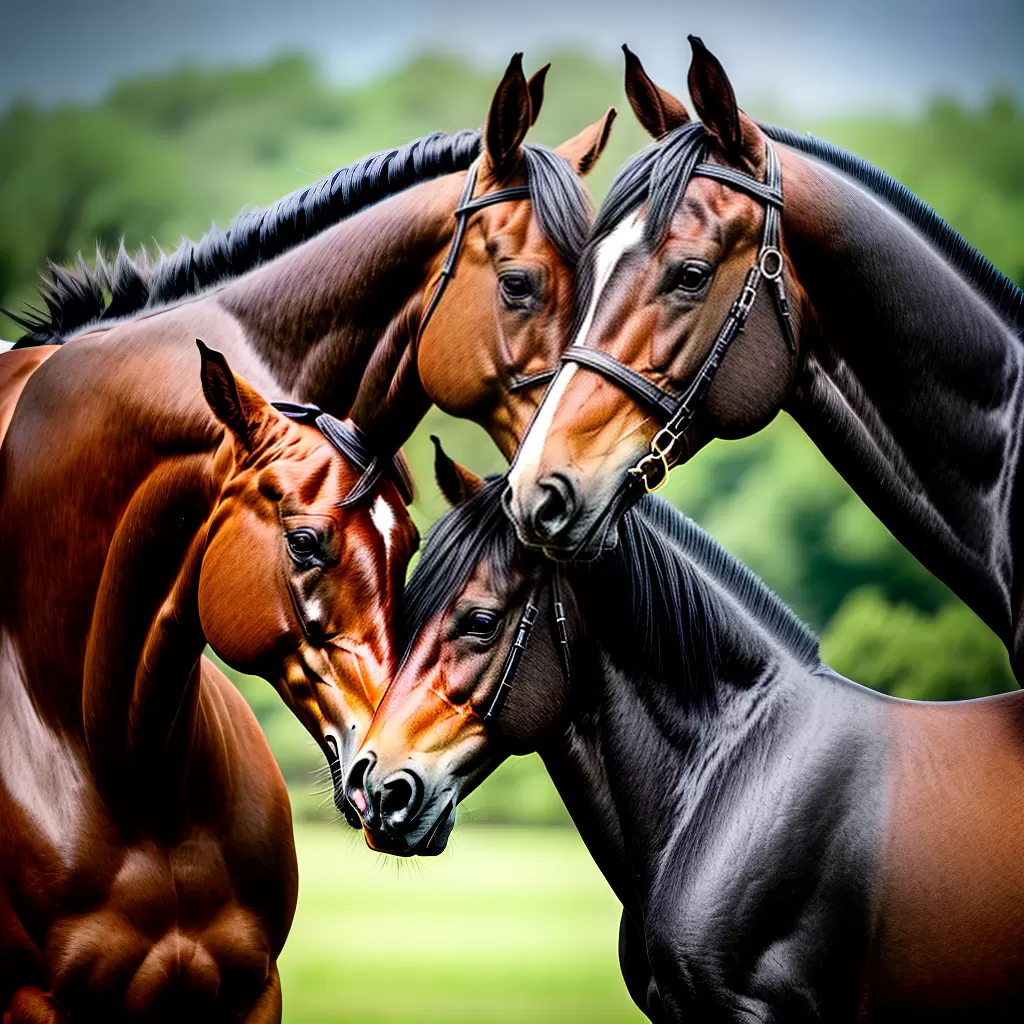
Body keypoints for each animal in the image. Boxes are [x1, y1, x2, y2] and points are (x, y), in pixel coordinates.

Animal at [0, 340, 418, 1022]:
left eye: (407, 546)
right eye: (304, 542)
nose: (406, 778)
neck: (139, 785)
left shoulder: (254, 991)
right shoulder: (33, 1002)